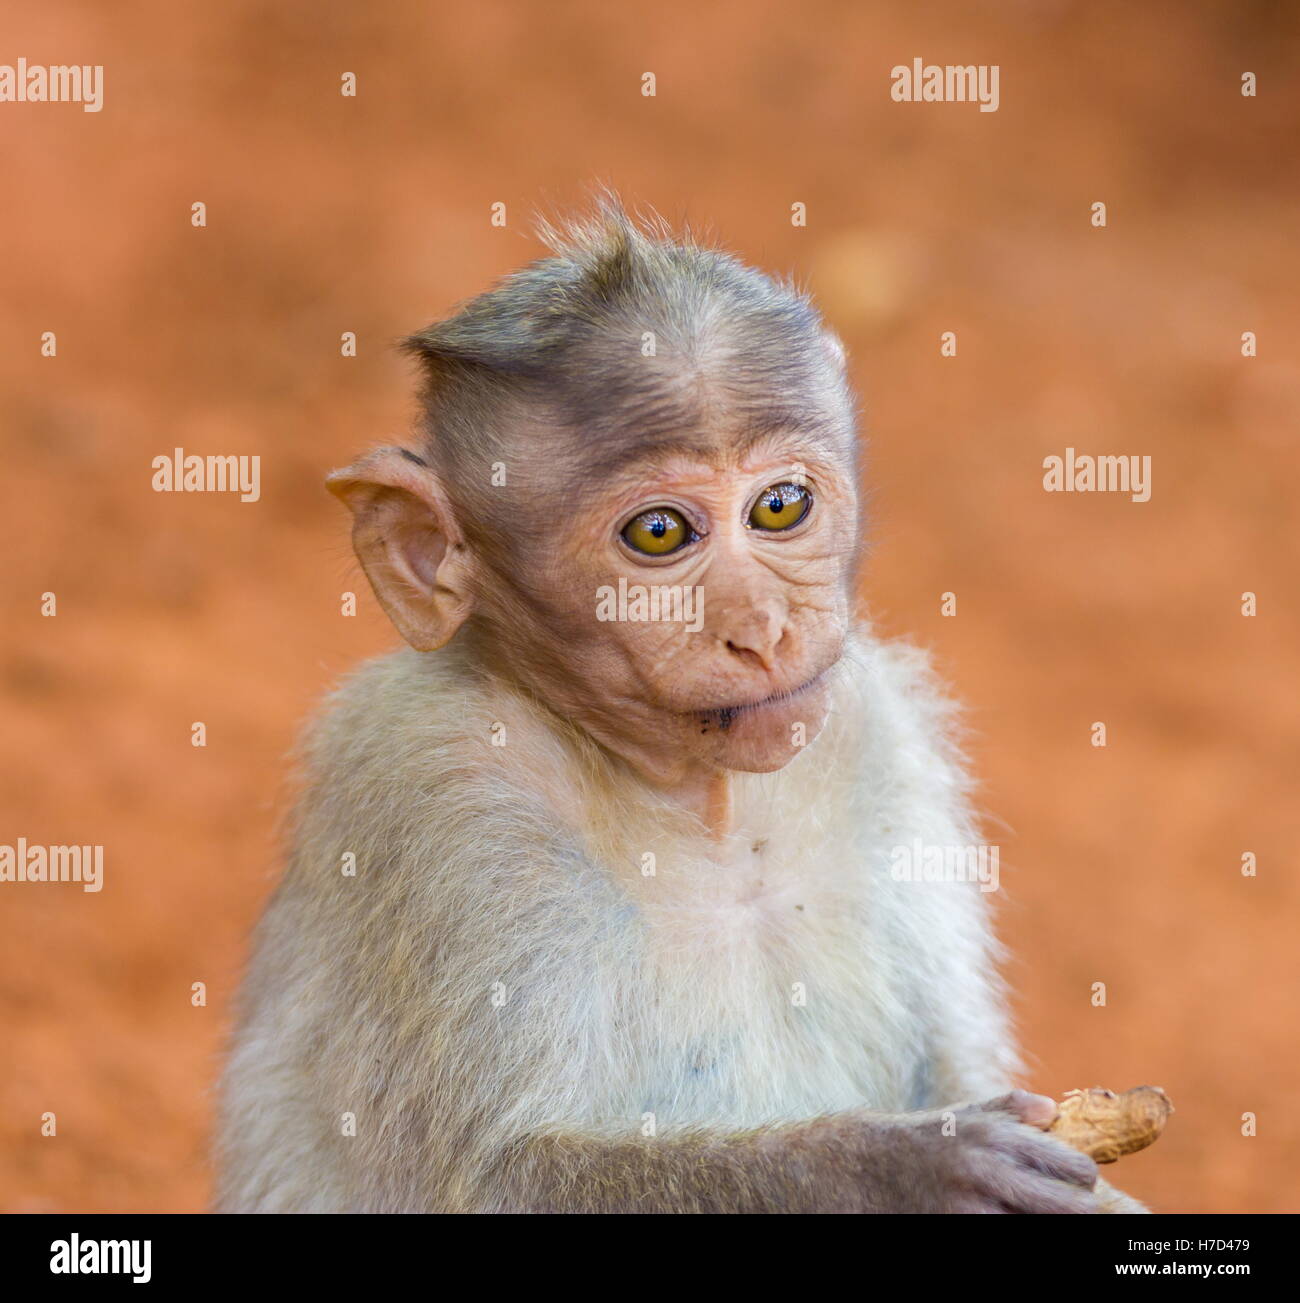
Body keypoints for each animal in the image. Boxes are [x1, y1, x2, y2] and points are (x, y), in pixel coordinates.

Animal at [215, 201, 1146, 1214]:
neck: (705, 813)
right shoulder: (442, 786)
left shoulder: (875, 733)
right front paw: (915, 1167)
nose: (762, 628)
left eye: (779, 507)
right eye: (658, 532)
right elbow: (497, 1179)